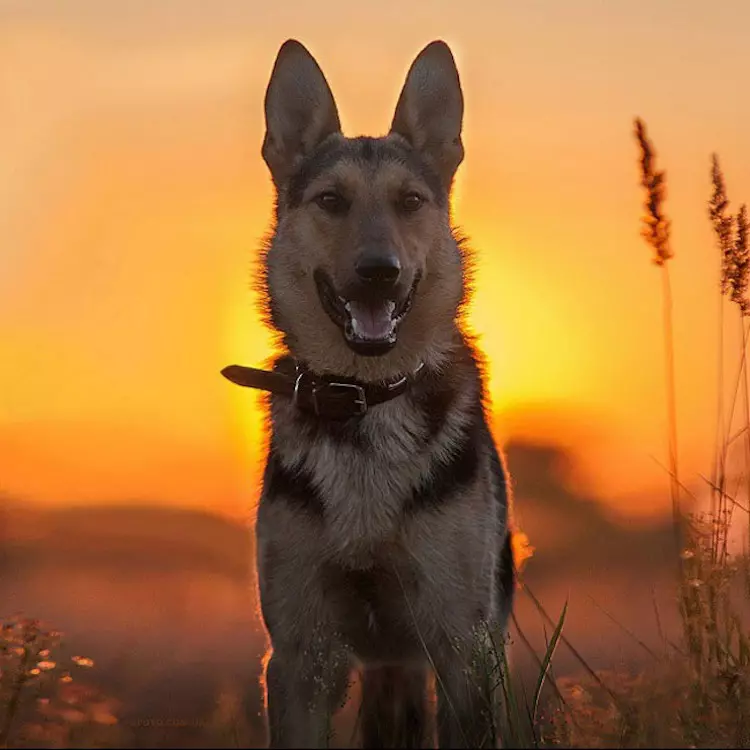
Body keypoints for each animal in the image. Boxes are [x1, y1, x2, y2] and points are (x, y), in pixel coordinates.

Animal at [222, 42, 516, 750]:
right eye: (331, 201)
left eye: (410, 202)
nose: (379, 271)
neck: (365, 399)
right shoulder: (302, 656)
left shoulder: (463, 647)